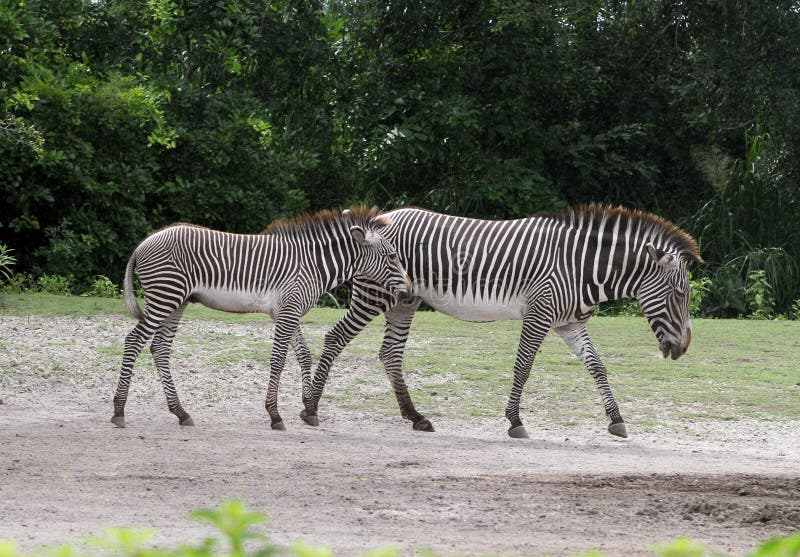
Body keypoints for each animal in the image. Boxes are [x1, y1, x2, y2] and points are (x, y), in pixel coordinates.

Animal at [111, 207, 411, 430]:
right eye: (392, 256)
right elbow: (278, 360)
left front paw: (309, 409)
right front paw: (275, 415)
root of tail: (143, 243)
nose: (408, 291)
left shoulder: (289, 311)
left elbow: (304, 355)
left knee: (159, 348)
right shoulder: (288, 311)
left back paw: (180, 412)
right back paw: (119, 410)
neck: (313, 265)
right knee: (134, 341)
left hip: (177, 301)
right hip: (166, 296)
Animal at [301, 204, 702, 439]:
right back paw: (310, 409)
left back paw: (415, 417)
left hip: (404, 300)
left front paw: (616, 419)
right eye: (679, 294)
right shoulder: (539, 313)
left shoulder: (570, 324)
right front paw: (515, 421)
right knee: (335, 338)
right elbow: (523, 367)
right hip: (374, 295)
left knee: (390, 354)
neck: (581, 267)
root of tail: (379, 219)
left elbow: (598, 367)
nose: (684, 348)